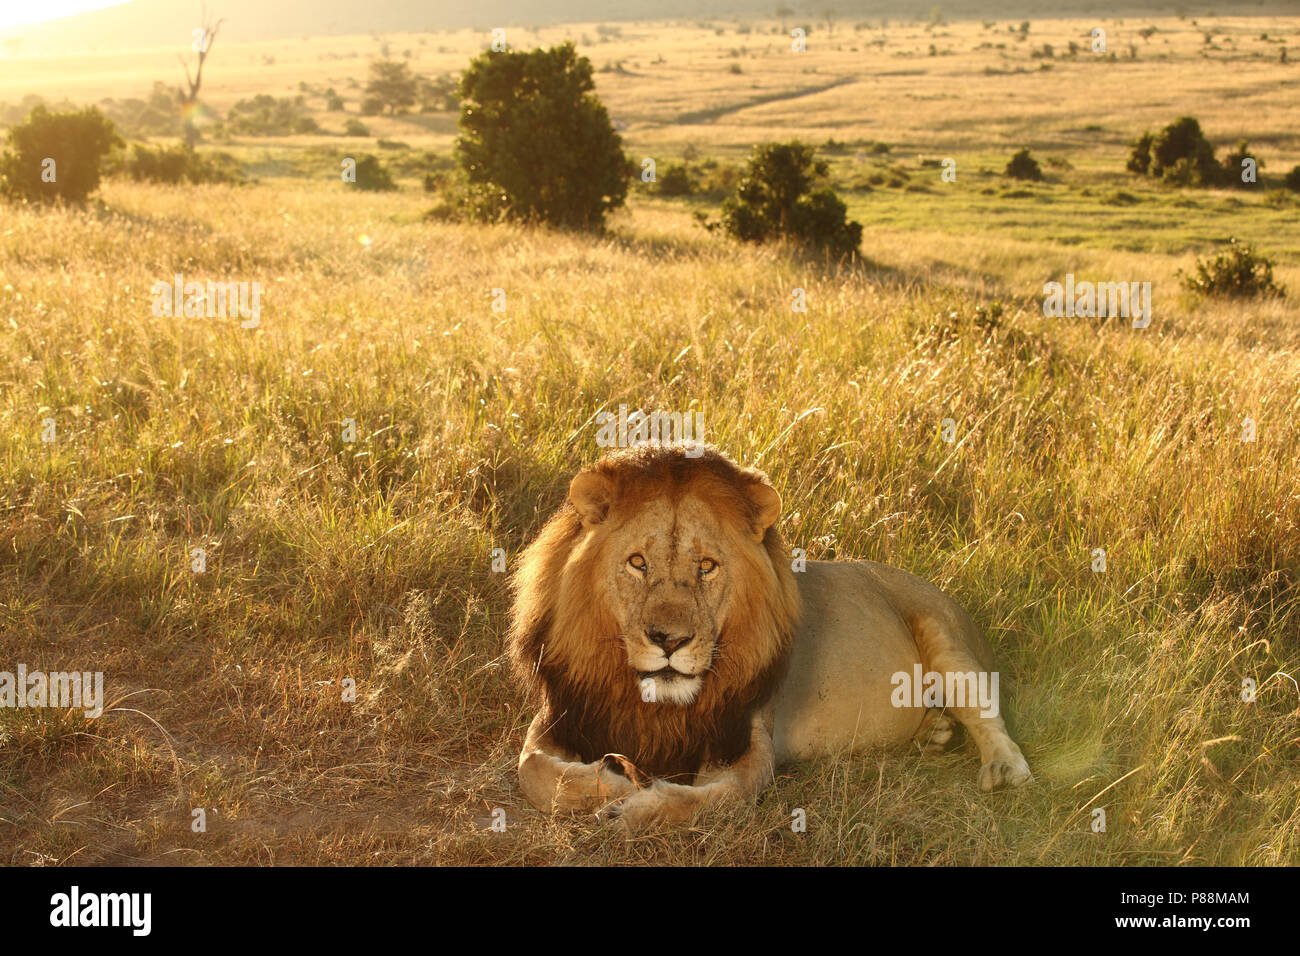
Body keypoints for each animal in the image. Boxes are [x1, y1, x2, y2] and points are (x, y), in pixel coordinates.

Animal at [507, 443, 1031, 828]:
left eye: (707, 567)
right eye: (638, 563)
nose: (669, 641)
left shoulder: (748, 740)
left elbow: (716, 798)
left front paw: (634, 803)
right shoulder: (561, 713)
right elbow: (532, 771)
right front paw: (611, 780)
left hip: (944, 635)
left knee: (986, 713)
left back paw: (1004, 769)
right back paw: (932, 733)